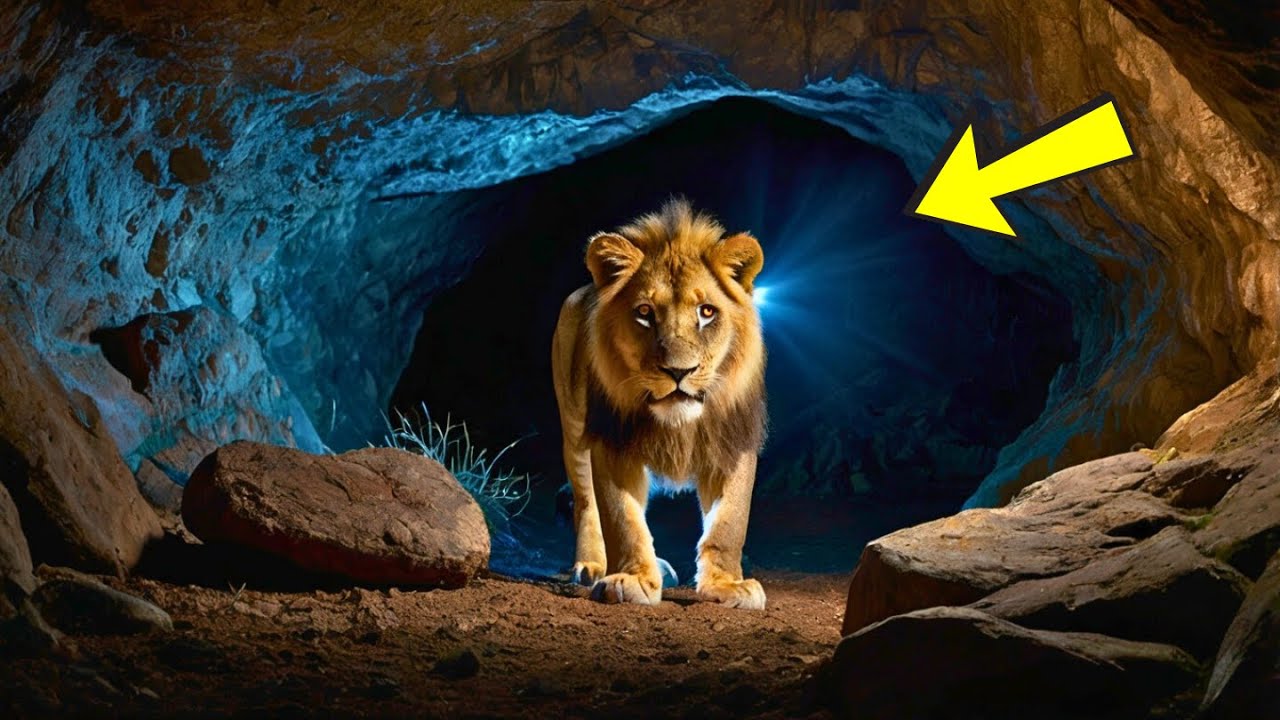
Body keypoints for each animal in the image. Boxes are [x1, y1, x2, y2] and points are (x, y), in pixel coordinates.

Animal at [551, 198, 767, 609]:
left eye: (707, 312)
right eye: (645, 313)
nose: (679, 371)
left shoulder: (734, 440)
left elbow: (731, 521)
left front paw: (727, 585)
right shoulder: (611, 441)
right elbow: (622, 519)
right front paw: (633, 579)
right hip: (573, 428)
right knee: (585, 501)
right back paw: (592, 566)